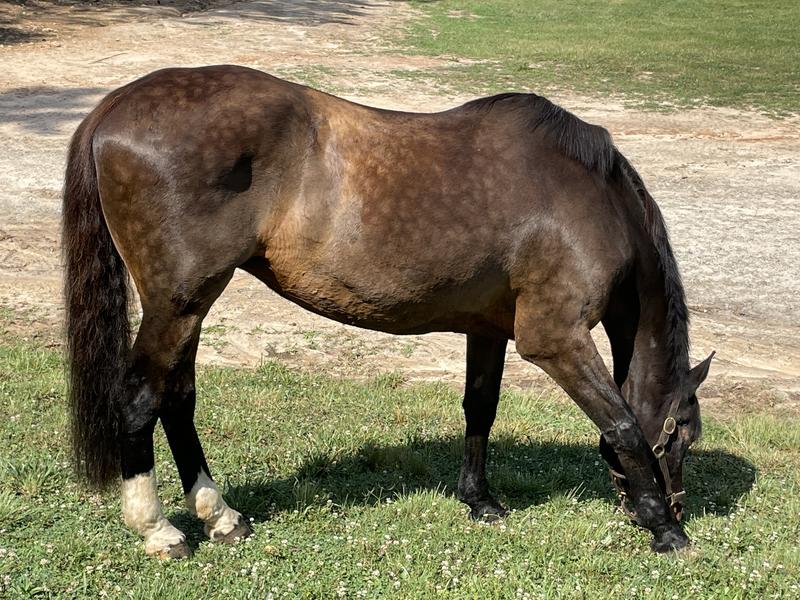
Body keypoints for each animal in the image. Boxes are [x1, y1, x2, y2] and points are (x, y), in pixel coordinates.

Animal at [62, 65, 713, 559]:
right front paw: (665, 530)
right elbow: (622, 423)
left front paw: (480, 501)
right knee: (141, 399)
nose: (679, 505)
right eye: (683, 431)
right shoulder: (556, 339)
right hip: (178, 303)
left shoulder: (487, 329)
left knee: (178, 398)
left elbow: (481, 408)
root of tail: (115, 106)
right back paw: (159, 530)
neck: (586, 198)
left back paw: (221, 516)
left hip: (191, 305)